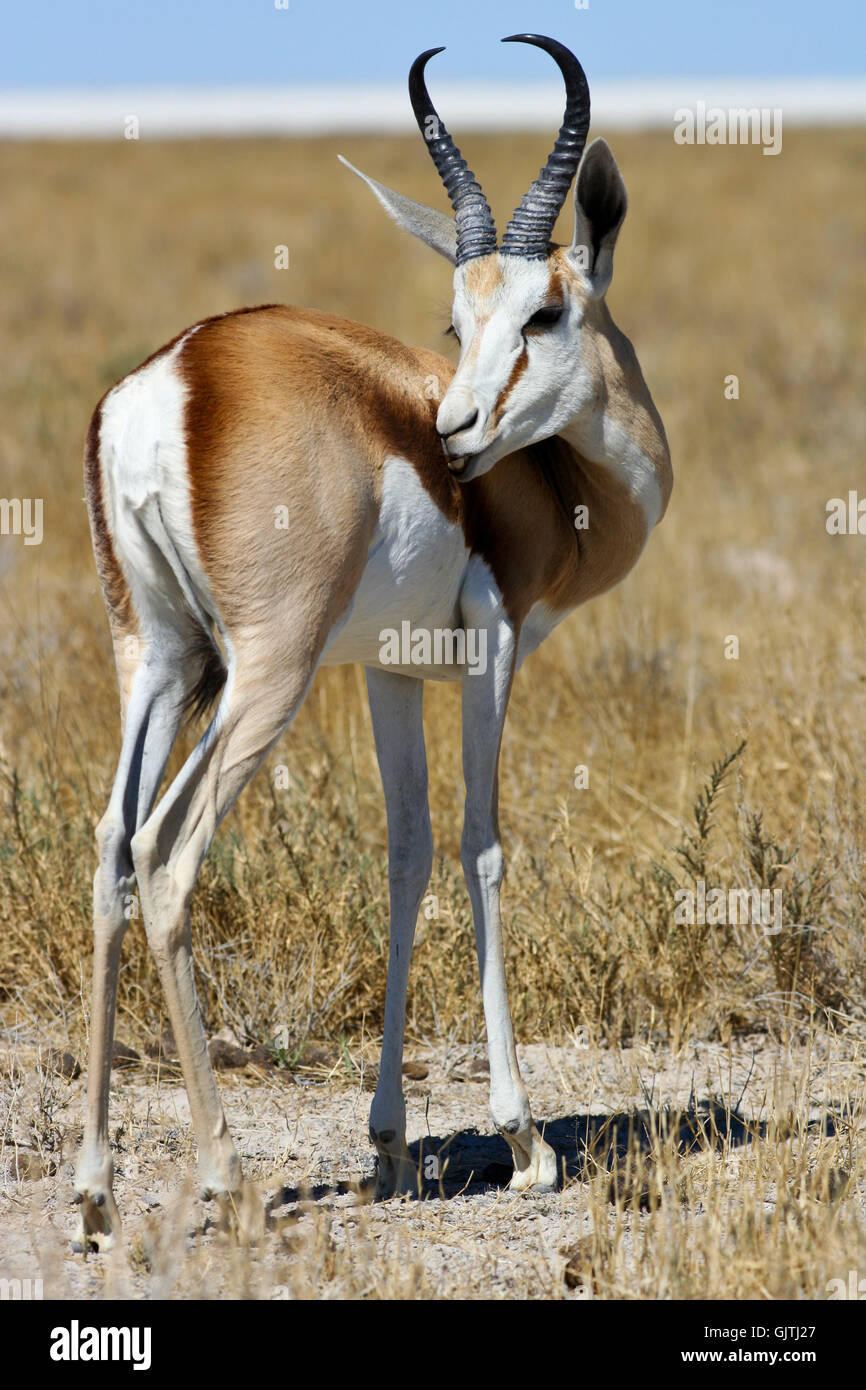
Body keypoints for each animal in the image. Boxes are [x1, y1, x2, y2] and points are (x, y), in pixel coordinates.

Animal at [74, 33, 671, 1250]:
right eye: (458, 323)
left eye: (539, 314)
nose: (453, 432)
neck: (556, 481)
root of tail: (173, 379)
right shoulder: (492, 650)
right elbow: (482, 845)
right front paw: (526, 1143)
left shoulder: (391, 673)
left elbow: (405, 854)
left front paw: (391, 1147)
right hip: (264, 674)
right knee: (165, 852)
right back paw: (226, 1180)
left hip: (160, 661)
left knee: (109, 843)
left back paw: (96, 1192)